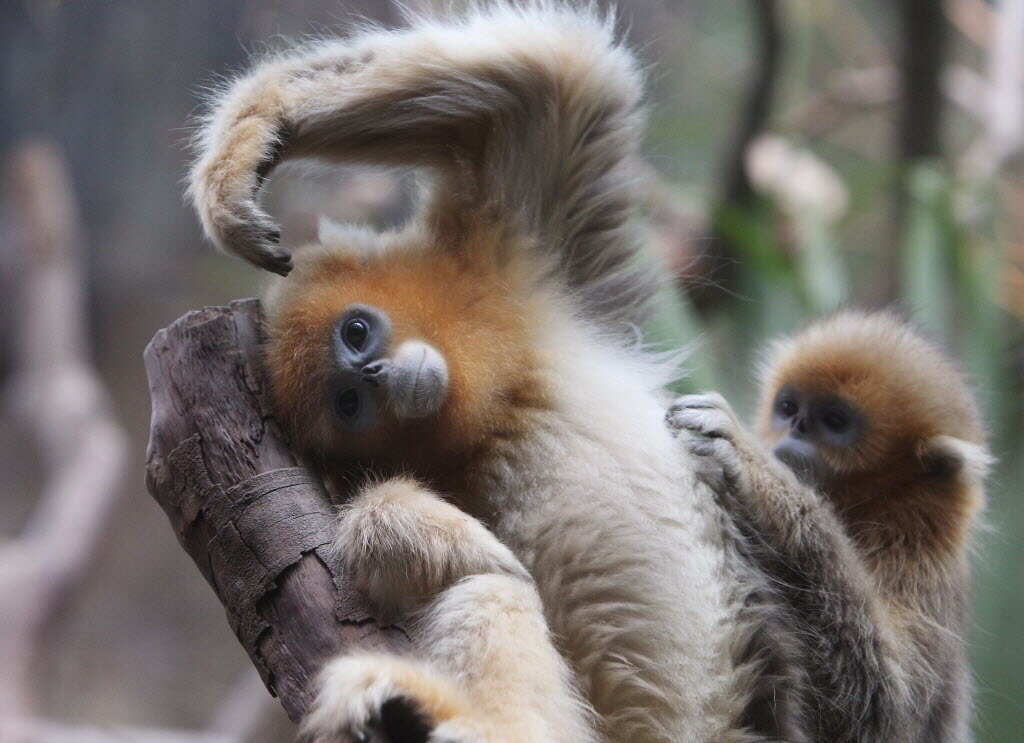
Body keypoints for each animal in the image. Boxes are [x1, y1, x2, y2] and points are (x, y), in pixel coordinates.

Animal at [188, 4, 771, 742]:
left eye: (357, 332)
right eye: (348, 402)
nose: (380, 375)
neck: (493, 413)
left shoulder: (516, 255)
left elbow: (548, 75)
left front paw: (247, 148)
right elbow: (402, 536)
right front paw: (410, 534)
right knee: (494, 590)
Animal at [667, 311, 991, 742]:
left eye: (834, 421)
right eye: (788, 407)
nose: (797, 427)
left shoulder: (921, 565)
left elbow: (882, 716)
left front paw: (756, 473)